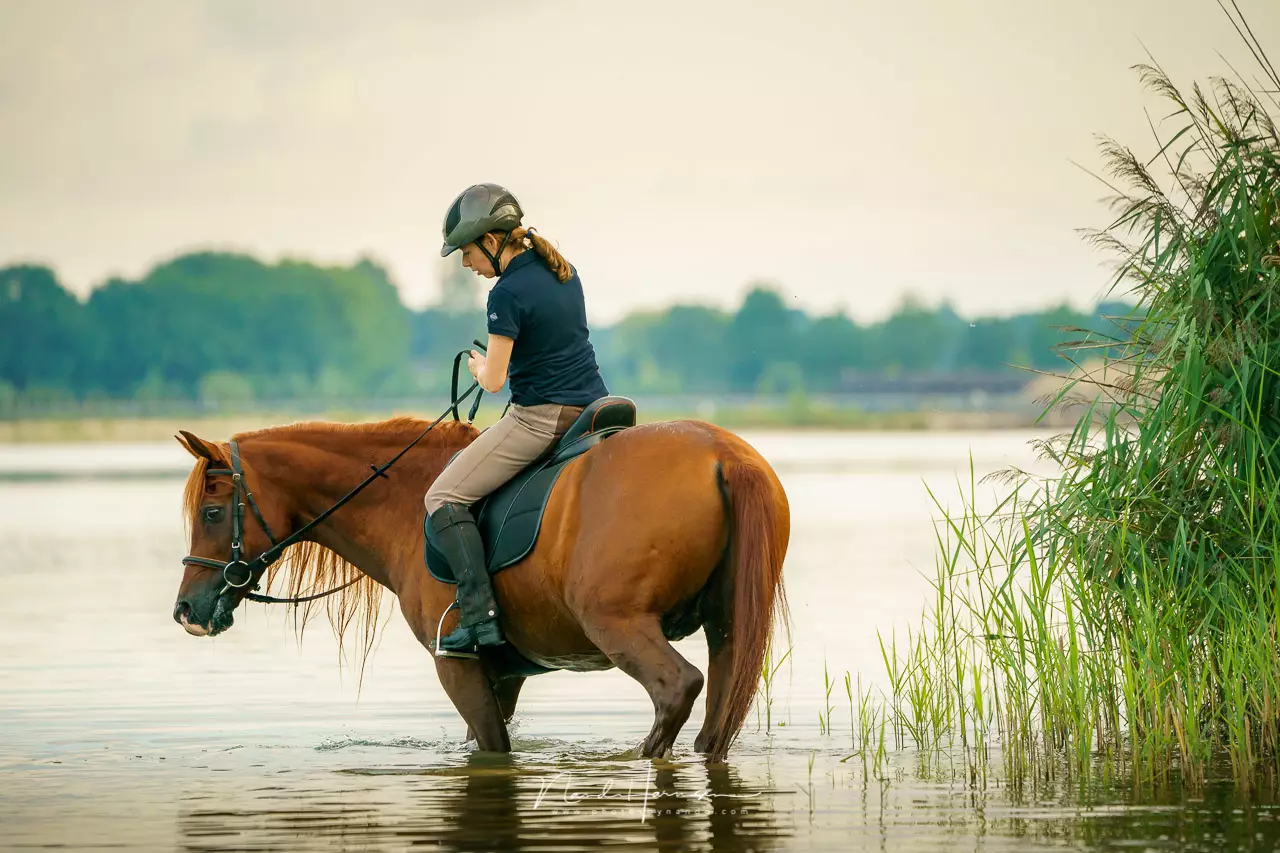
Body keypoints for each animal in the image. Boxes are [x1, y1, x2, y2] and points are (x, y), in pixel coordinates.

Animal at [172, 414, 788, 753]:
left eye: (211, 512)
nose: (187, 611)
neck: (403, 499)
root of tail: (723, 453)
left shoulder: (458, 666)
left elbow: (492, 751)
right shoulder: (504, 673)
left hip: (619, 625)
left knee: (676, 689)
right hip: (727, 631)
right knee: (714, 725)